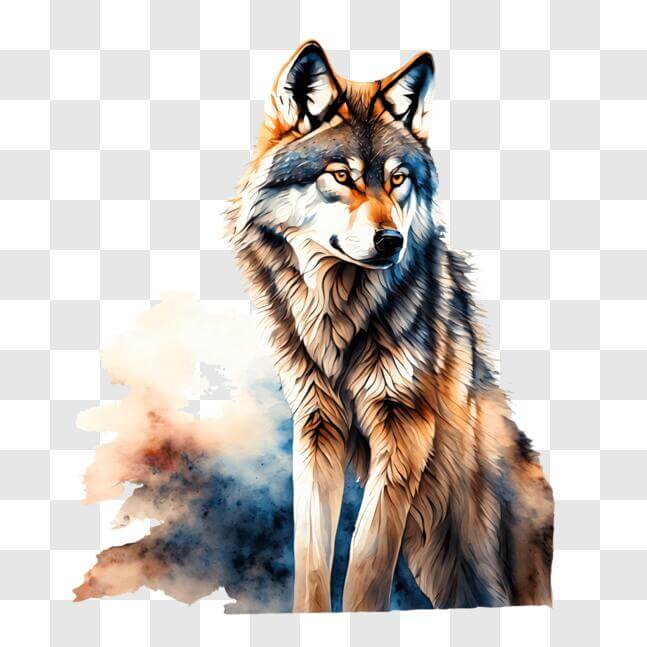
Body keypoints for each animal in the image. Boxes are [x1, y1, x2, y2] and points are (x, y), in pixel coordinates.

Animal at [226, 41, 554, 612]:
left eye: (398, 179)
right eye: (342, 176)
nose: (391, 241)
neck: (339, 313)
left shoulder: (405, 428)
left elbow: (366, 561)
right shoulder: (316, 426)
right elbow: (312, 557)